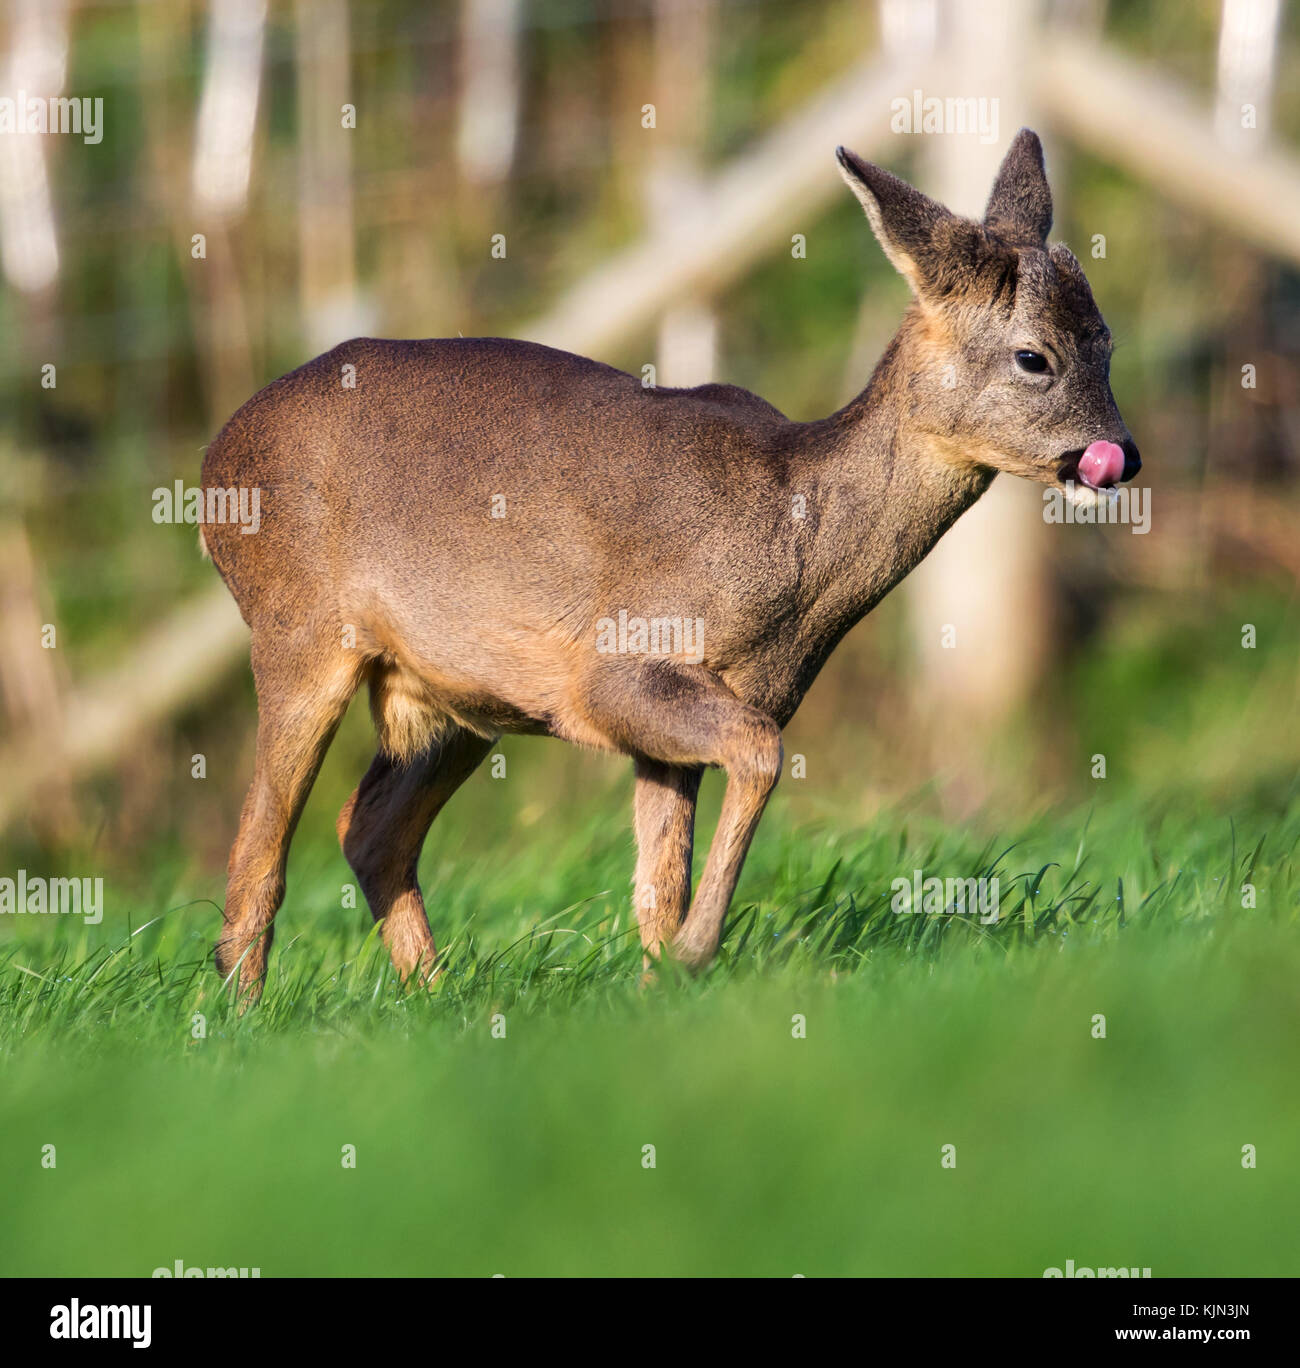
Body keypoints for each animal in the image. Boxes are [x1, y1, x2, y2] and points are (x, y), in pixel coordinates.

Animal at [200, 128, 1140, 1003]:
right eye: (1034, 356)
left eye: (1108, 343)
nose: (1120, 455)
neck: (792, 545)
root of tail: (215, 458)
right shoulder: (617, 667)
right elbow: (759, 753)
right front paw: (694, 956)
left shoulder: (670, 723)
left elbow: (658, 882)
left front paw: (660, 985)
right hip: (299, 628)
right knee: (258, 850)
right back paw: (246, 1019)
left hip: (450, 696)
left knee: (370, 831)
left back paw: (436, 997)